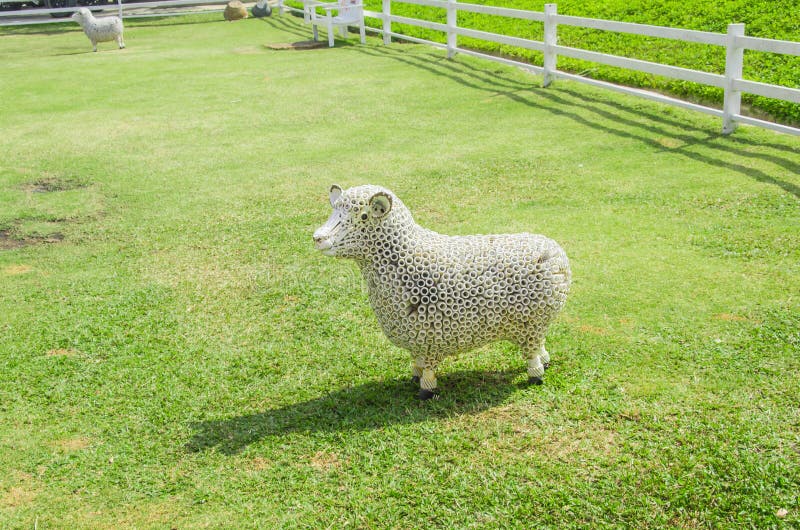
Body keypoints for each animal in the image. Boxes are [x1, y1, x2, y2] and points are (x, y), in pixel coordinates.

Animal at [313, 184, 571, 399]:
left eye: (364, 216)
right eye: (334, 211)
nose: (318, 238)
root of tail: (555, 251)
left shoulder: (430, 341)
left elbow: (428, 369)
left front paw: (426, 391)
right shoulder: (418, 341)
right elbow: (417, 362)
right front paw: (414, 376)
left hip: (532, 323)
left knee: (532, 351)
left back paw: (536, 374)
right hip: (535, 324)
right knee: (540, 344)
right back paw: (546, 362)